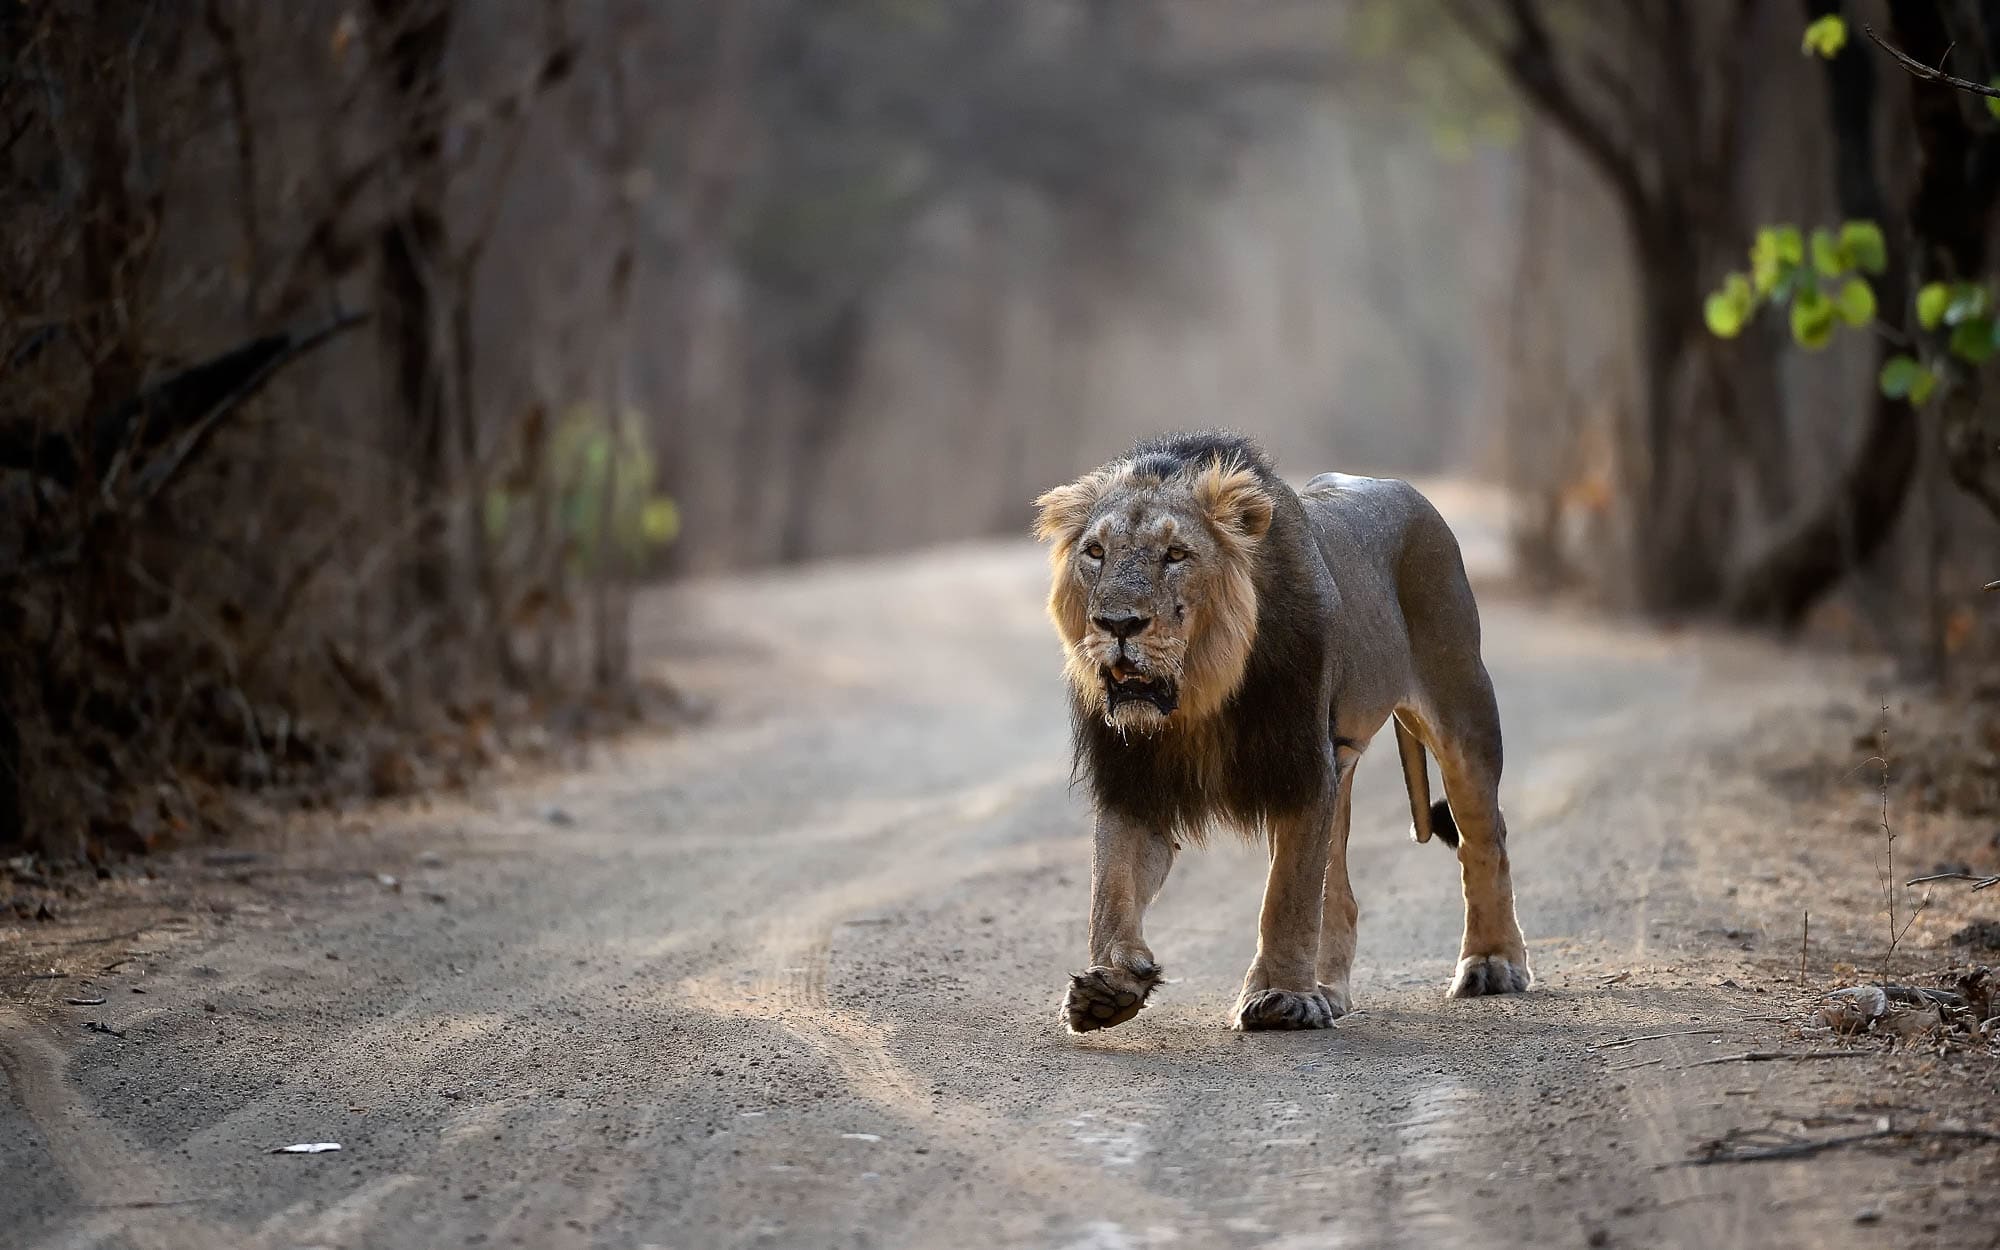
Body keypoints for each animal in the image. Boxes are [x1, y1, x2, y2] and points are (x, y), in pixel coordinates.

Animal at [1033, 431, 1531, 1032]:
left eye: (1176, 555)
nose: (1117, 624)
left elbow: (1287, 897)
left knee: (1485, 837)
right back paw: (1329, 989)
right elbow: (1112, 886)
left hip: (1461, 705)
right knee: (1340, 892)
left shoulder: (1301, 769)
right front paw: (1111, 986)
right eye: (1095, 553)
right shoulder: (1132, 778)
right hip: (1341, 762)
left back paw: (1492, 964)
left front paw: (1281, 998)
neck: (1199, 698)